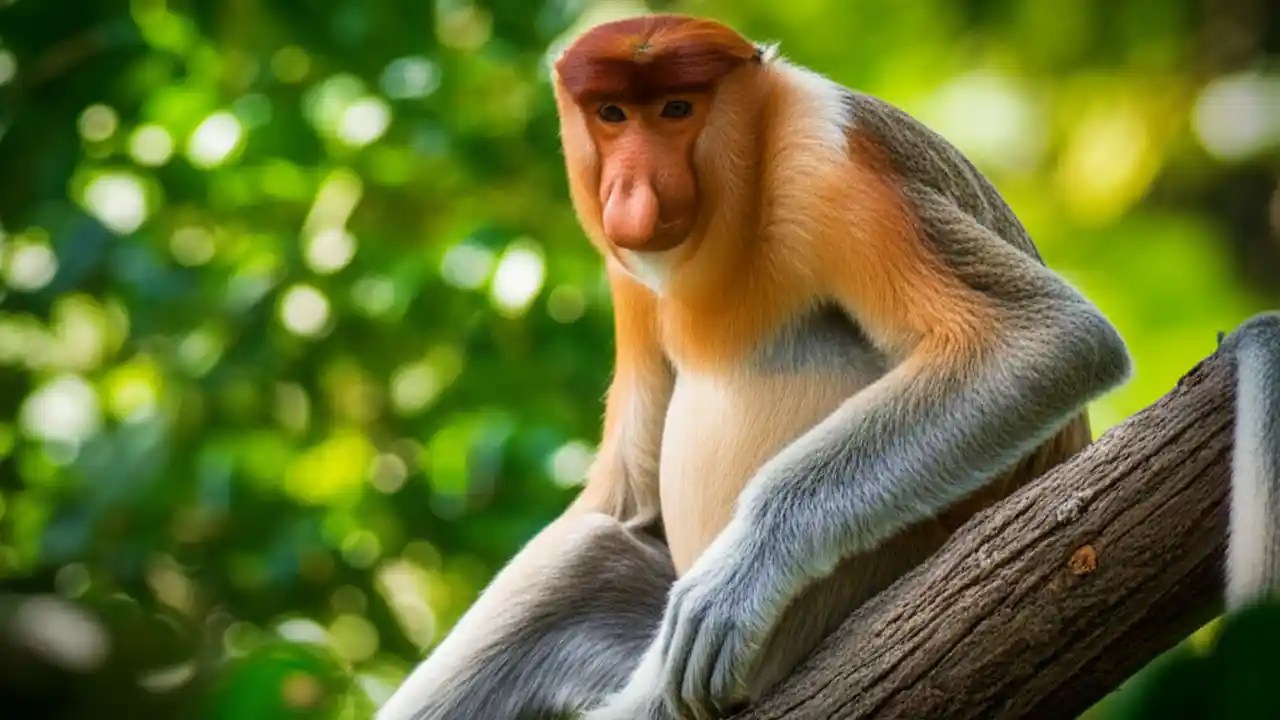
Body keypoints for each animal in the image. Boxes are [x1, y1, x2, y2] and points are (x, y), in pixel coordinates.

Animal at [376, 14, 1280, 720]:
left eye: (677, 110)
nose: (631, 191)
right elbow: (624, 497)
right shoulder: (625, 272)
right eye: (611, 114)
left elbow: (1049, 338)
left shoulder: (833, 166)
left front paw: (738, 576)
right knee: (586, 557)